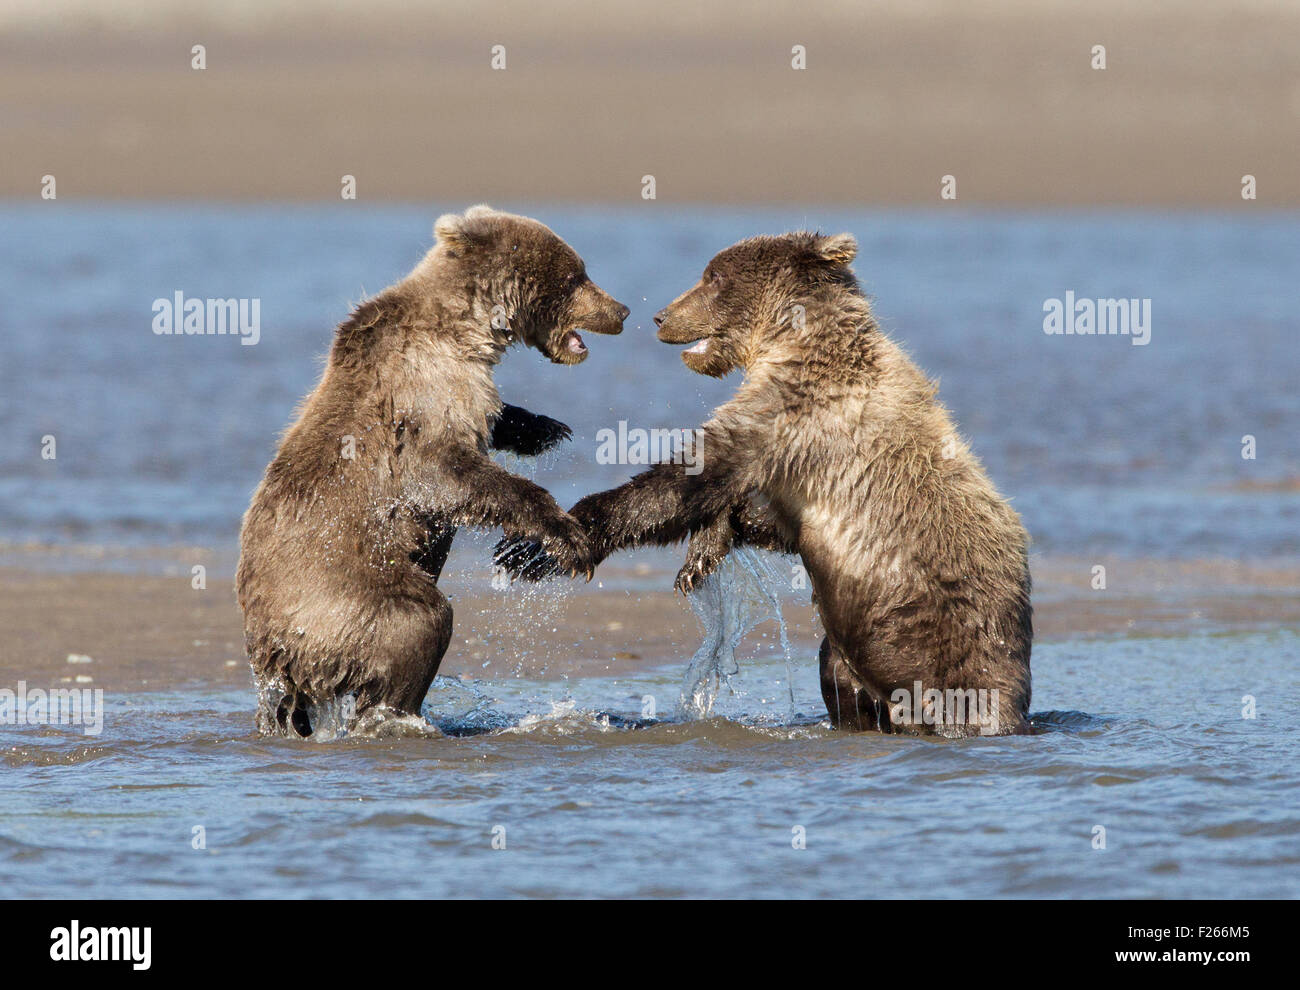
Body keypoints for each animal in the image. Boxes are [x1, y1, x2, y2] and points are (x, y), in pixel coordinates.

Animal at [237, 205, 628, 737]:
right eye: (576, 276)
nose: (622, 310)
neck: (468, 332)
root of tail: (273, 652)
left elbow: (492, 416)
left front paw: (544, 428)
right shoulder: (418, 400)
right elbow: (448, 475)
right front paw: (567, 534)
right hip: (344, 597)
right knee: (419, 621)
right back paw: (402, 714)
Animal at [498, 230, 1032, 736]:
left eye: (713, 276)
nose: (660, 316)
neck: (791, 346)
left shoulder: (795, 414)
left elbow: (688, 480)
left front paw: (538, 547)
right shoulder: (795, 465)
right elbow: (762, 516)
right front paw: (699, 558)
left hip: (948, 641)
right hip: (856, 658)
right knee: (840, 679)